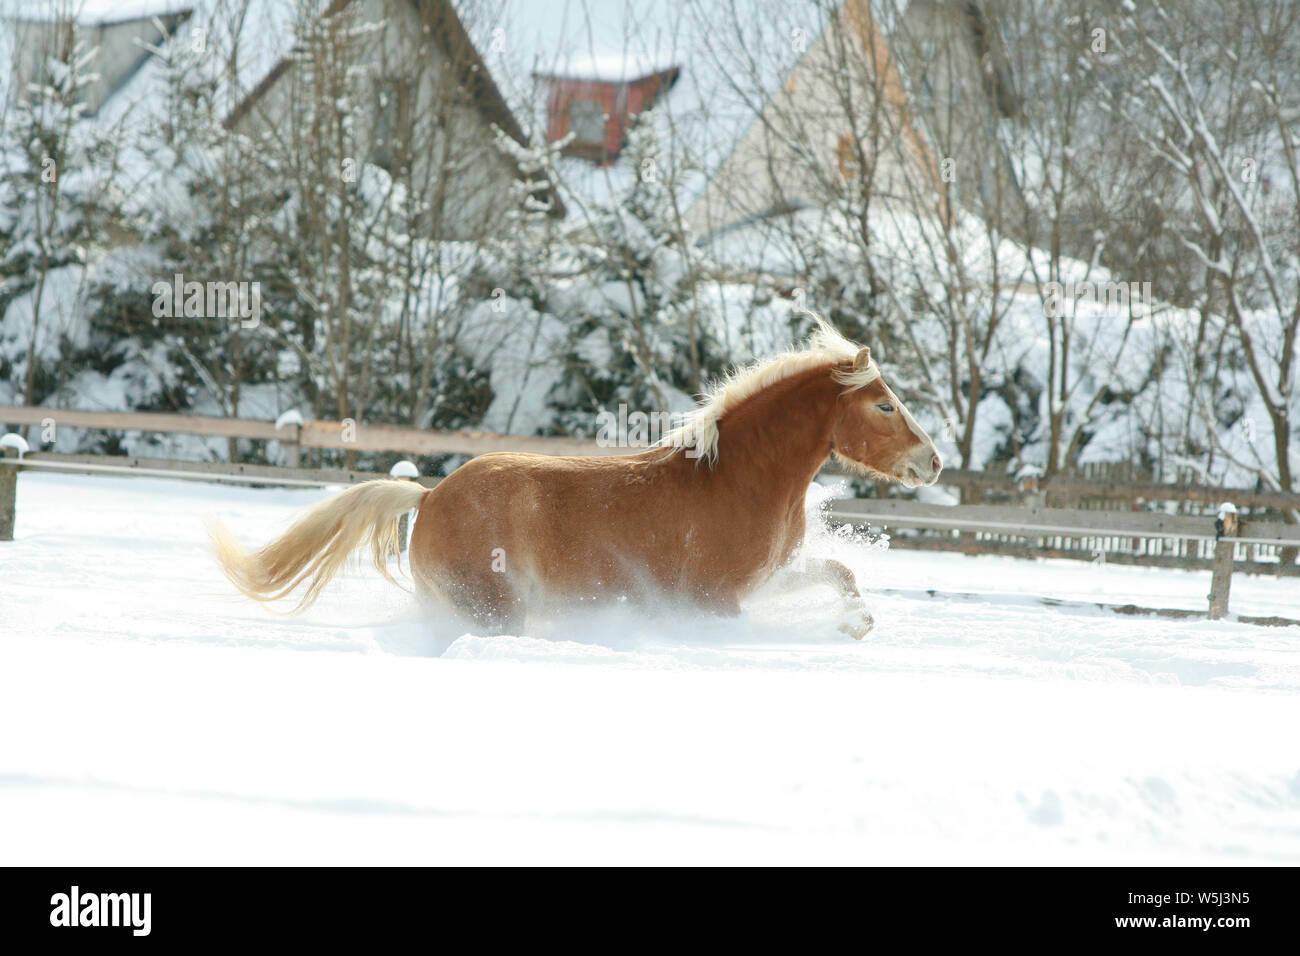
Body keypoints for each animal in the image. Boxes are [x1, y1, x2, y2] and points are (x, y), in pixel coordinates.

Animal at [209, 320, 942, 638]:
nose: (932, 461)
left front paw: (858, 623)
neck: (736, 479)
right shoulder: (712, 601)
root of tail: (431, 493)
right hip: (495, 608)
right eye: (884, 404)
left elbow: (839, 572)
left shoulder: (759, 580)